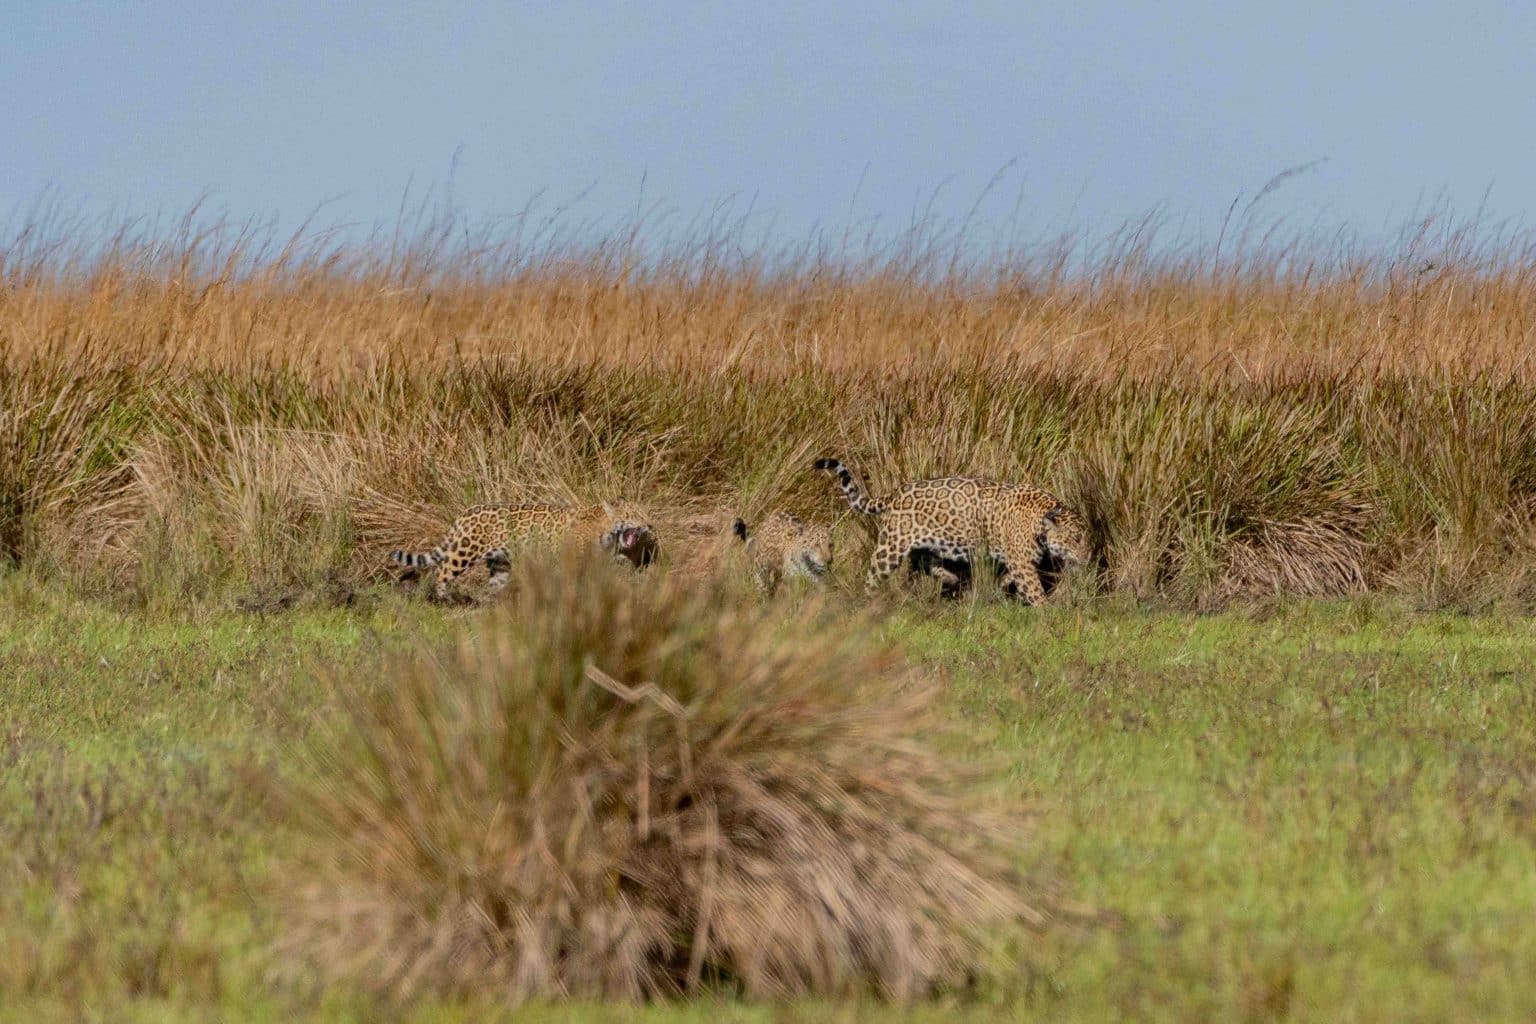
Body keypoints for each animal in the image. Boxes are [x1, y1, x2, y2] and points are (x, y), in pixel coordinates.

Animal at [389, 503, 657, 600]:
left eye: (645, 514)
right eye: (632, 515)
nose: (649, 524)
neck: (605, 529)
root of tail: (466, 513)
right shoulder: (570, 560)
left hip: (500, 561)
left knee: (495, 583)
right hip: (465, 551)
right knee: (442, 570)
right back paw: (444, 598)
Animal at [813, 457, 1091, 603]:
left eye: (1083, 540)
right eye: (1075, 540)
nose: (1087, 557)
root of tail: (896, 493)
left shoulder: (1019, 560)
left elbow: (1011, 578)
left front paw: (1000, 587)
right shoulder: (1021, 562)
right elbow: (1033, 588)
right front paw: (1046, 611)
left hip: (930, 542)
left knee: (924, 562)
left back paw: (949, 578)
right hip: (892, 545)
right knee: (875, 571)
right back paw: (867, 599)